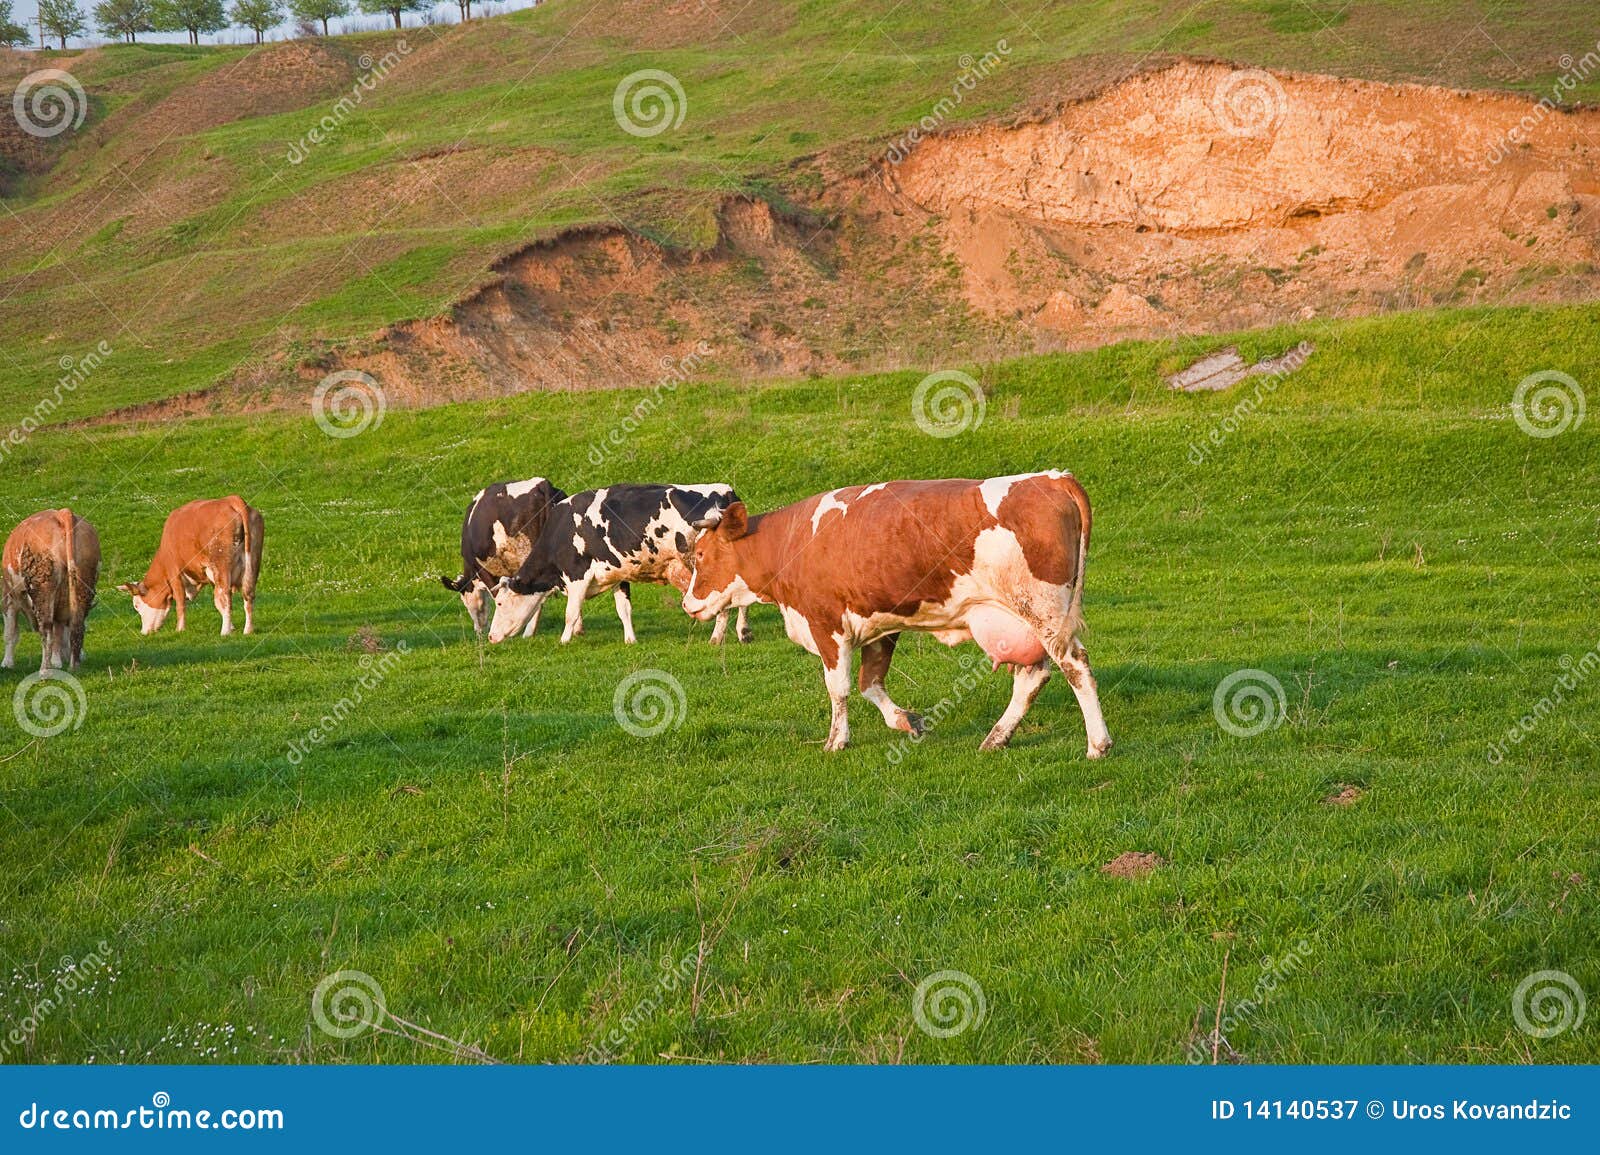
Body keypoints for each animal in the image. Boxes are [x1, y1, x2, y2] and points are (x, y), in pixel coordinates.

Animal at [2, 509, 100, 673]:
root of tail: (63, 512)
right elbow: (59, 633)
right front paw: (58, 662)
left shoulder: (8, 597)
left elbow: (10, 633)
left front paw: (6, 663)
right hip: (84, 582)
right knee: (77, 624)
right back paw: (74, 667)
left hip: (43, 588)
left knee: (46, 628)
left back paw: (44, 669)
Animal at [117, 496, 264, 636]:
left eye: (136, 605)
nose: (143, 632)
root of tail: (232, 499)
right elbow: (217, 603)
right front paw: (233, 628)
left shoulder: (174, 573)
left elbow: (180, 602)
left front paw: (180, 629)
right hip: (253, 563)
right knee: (248, 595)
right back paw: (248, 630)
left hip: (221, 566)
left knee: (225, 596)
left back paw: (225, 632)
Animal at [439, 477, 567, 636]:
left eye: (464, 599)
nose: (478, 631)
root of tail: (542, 483)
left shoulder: (483, 569)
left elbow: (498, 595)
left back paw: (528, 633)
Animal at [488, 483, 752, 646]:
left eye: (499, 603)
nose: (490, 636)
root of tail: (725, 491)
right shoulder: (617, 574)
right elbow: (623, 610)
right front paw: (630, 640)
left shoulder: (576, 575)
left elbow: (571, 612)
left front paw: (563, 640)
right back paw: (743, 632)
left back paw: (716, 638)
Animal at [679, 472, 1111, 758]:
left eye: (700, 554)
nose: (687, 604)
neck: (791, 542)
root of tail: (1052, 477)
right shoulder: (879, 623)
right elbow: (870, 682)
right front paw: (907, 721)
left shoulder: (827, 624)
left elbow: (838, 687)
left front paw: (836, 740)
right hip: (1024, 619)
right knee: (1032, 675)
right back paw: (996, 738)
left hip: (1043, 611)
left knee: (1075, 666)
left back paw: (1098, 743)